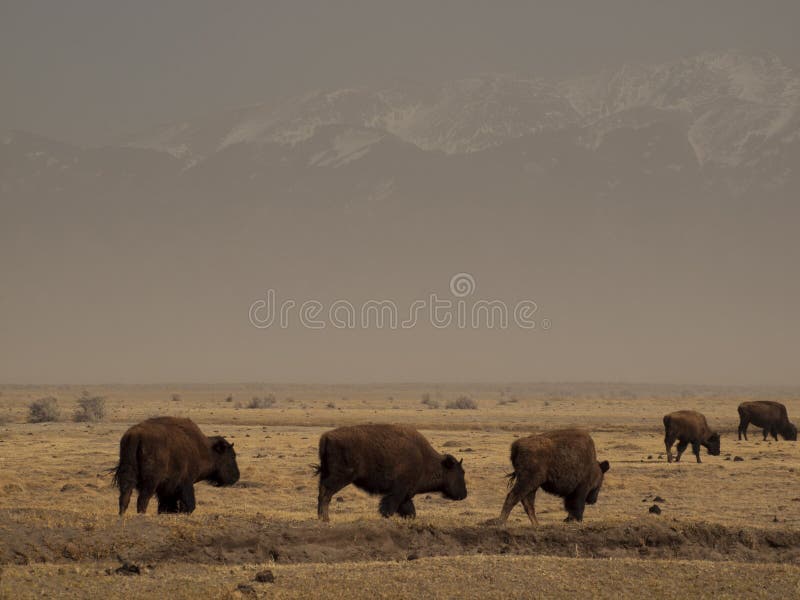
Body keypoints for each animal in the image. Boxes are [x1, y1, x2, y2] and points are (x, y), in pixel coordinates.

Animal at [314, 424, 467, 521]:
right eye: (459, 473)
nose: (464, 494)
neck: (425, 458)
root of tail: (326, 437)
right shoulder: (398, 491)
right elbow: (389, 507)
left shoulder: (406, 495)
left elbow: (410, 511)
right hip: (341, 477)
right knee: (326, 493)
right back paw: (325, 519)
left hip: (327, 473)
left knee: (322, 492)